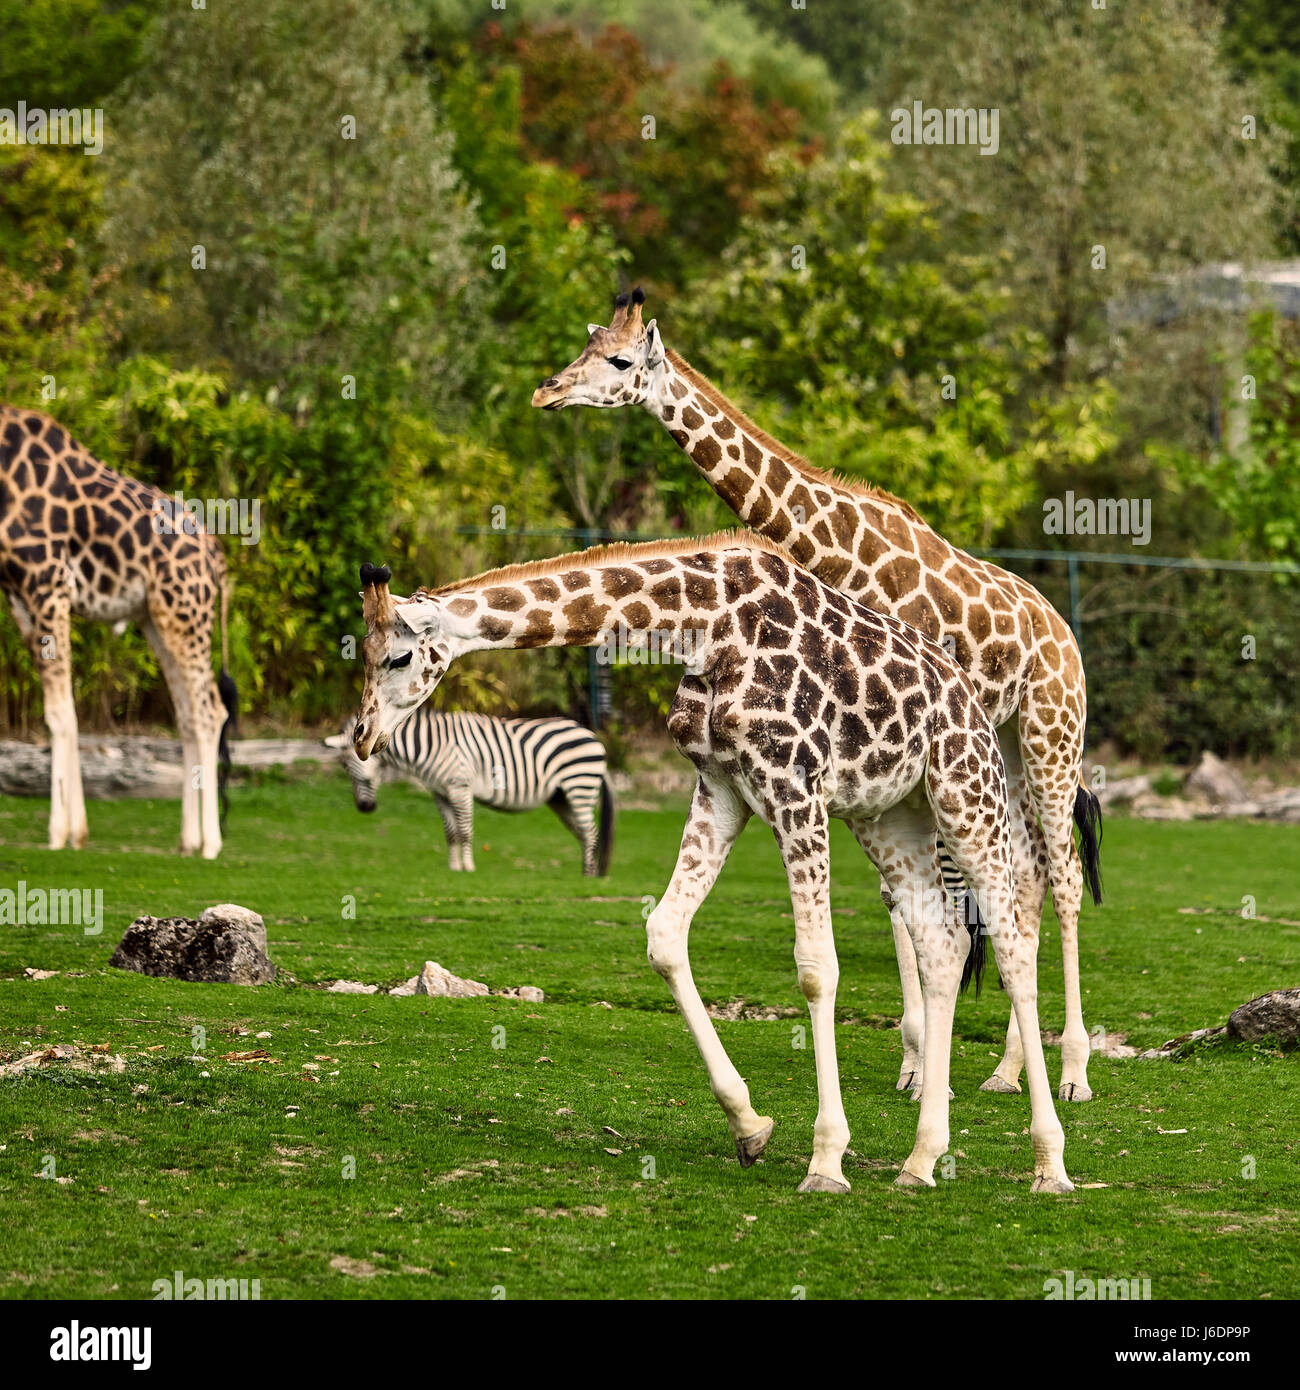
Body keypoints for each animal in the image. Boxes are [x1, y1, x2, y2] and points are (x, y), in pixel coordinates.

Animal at [0, 407, 236, 858]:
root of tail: (216, 557)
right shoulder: (19, 598)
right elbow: (60, 710)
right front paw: (75, 832)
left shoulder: (47, 583)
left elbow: (59, 712)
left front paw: (60, 833)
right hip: (157, 620)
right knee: (186, 713)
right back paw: (189, 839)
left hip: (185, 613)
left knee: (210, 710)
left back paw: (212, 843)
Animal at [325, 710, 615, 876]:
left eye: (346, 764)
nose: (365, 808)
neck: (430, 746)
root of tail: (592, 736)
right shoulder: (440, 793)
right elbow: (450, 833)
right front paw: (454, 868)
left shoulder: (459, 787)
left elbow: (465, 830)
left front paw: (468, 867)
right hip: (561, 798)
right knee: (582, 833)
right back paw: (585, 870)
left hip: (580, 787)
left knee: (591, 832)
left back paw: (588, 875)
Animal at [532, 290, 1104, 1103]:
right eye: (583, 344)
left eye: (616, 360)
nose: (548, 391)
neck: (840, 551)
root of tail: (1063, 633)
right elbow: (901, 904)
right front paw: (914, 1063)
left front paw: (928, 1069)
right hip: (1008, 751)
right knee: (1022, 880)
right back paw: (1005, 1070)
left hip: (1053, 735)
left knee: (1062, 878)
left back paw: (1074, 1072)